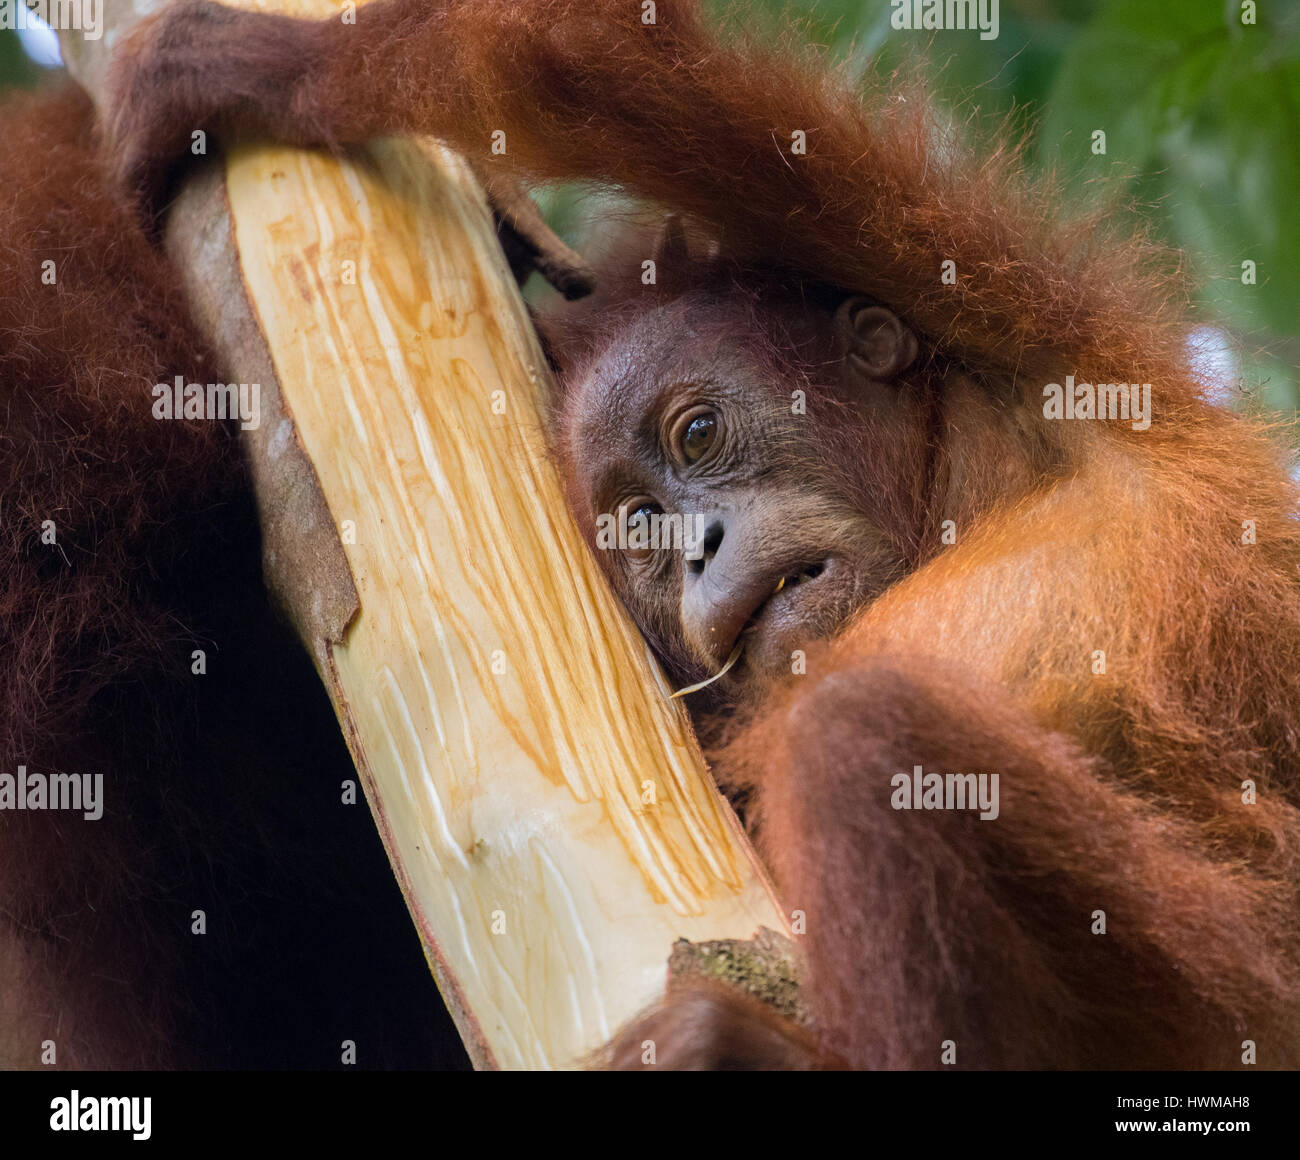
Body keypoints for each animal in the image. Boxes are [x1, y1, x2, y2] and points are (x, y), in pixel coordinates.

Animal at [14, 0, 1300, 1068]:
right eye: (636, 519)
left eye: (696, 431)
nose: (698, 547)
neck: (956, 488)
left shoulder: (1018, 311)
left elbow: (616, 77)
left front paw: (251, 67)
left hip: (1225, 990)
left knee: (865, 736)